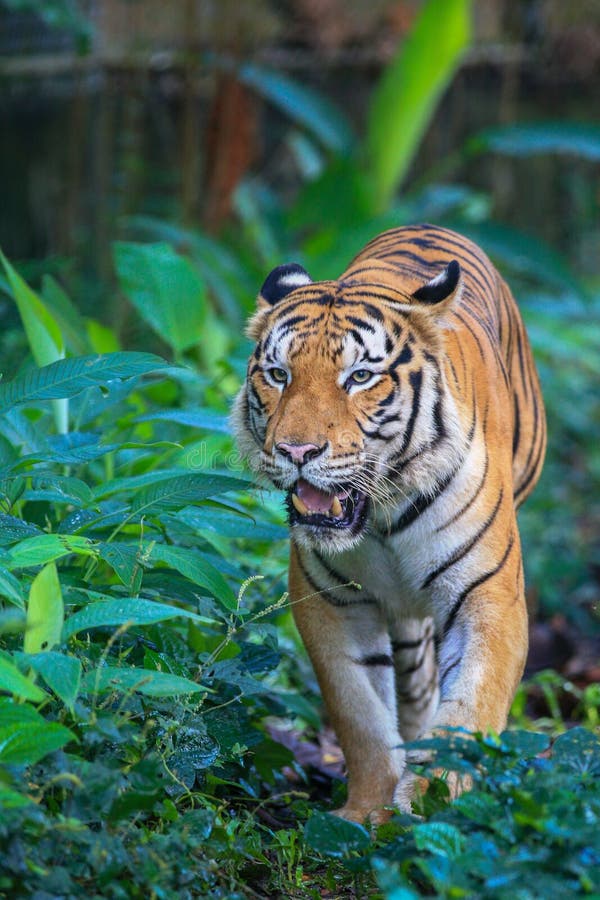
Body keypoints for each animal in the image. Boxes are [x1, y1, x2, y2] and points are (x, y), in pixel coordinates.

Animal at [233, 223, 546, 823]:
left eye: (359, 377)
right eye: (279, 375)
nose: (296, 450)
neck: (382, 515)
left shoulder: (489, 595)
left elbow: (470, 706)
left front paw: (436, 799)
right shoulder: (330, 602)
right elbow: (361, 716)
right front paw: (367, 813)